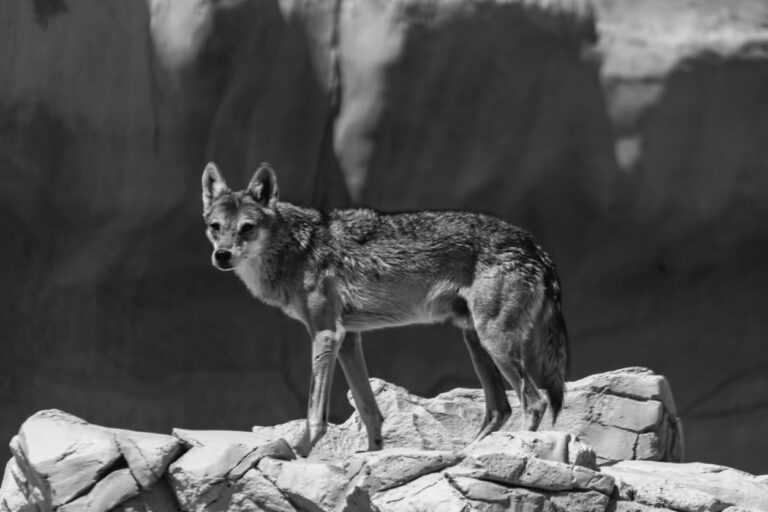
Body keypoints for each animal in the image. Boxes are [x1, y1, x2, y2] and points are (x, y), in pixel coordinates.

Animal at [201, 162, 569, 456]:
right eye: (215, 227)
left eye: (247, 227)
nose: (222, 256)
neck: (295, 247)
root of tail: (533, 245)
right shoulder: (349, 339)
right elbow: (369, 410)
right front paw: (372, 454)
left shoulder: (326, 334)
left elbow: (315, 413)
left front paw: (299, 451)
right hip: (476, 342)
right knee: (499, 409)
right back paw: (467, 453)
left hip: (495, 342)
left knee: (534, 401)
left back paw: (517, 450)